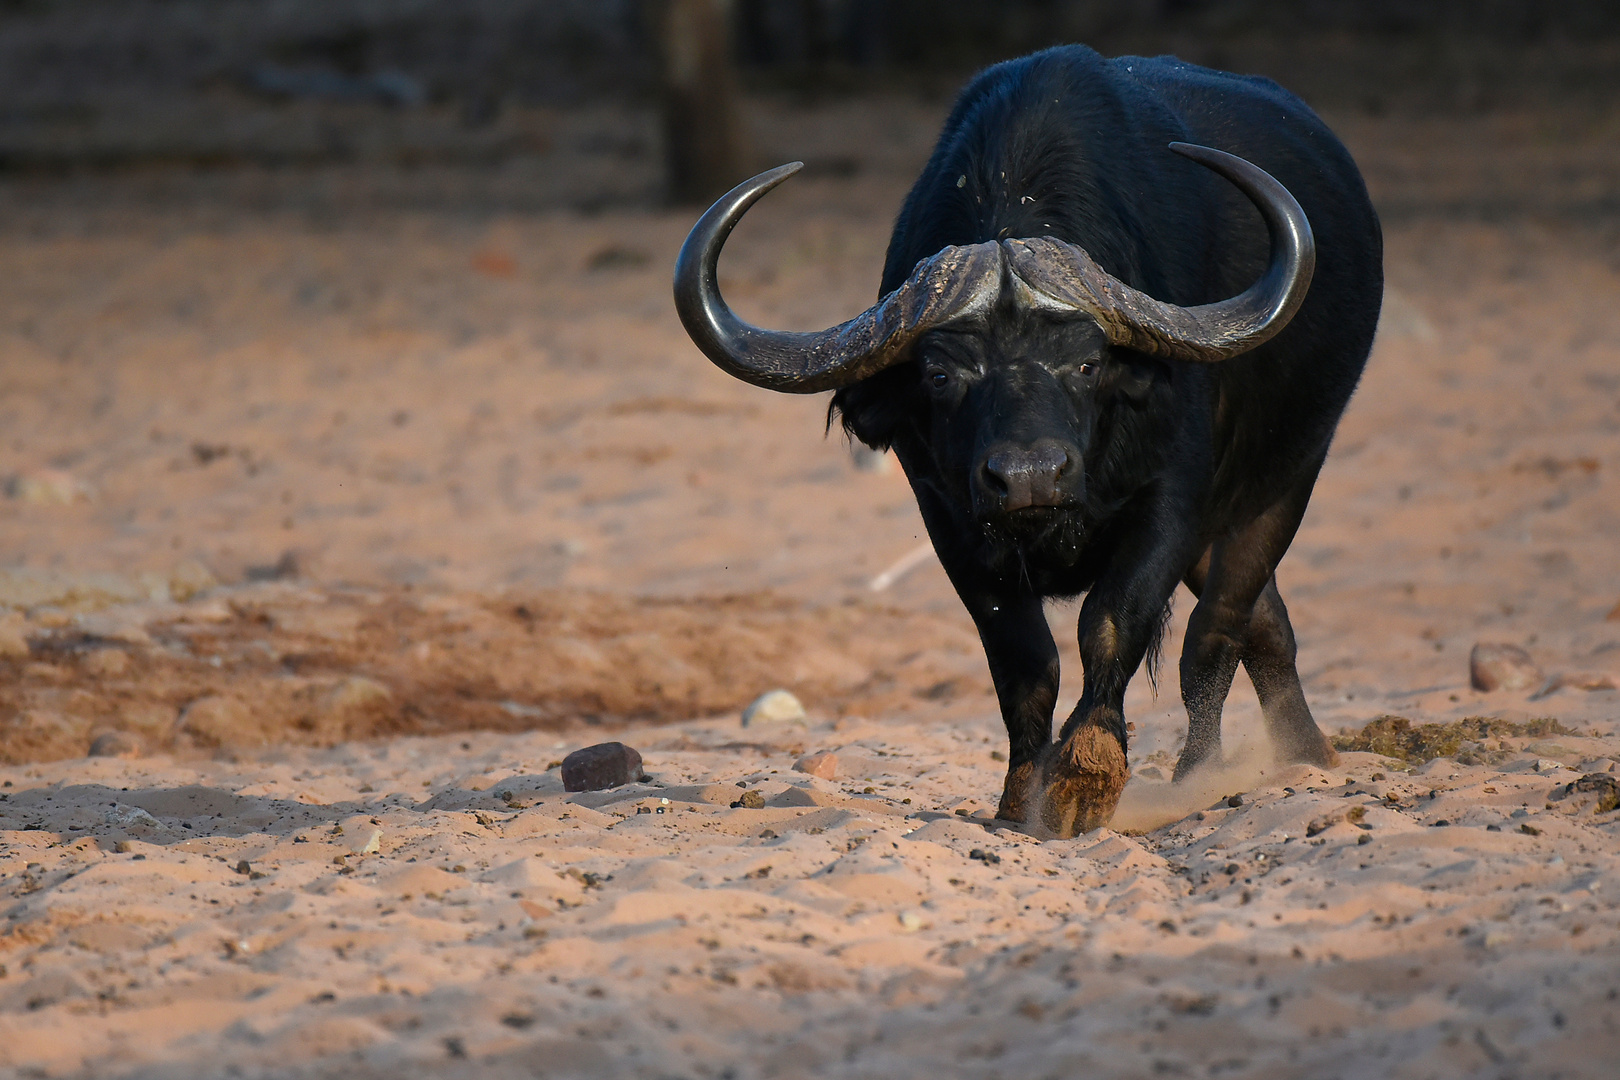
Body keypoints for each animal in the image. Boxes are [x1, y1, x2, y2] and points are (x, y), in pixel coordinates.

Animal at [670, 44, 1380, 835]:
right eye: (943, 373)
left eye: (1087, 362)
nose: (1031, 476)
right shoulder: (950, 519)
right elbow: (1022, 659)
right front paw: (1019, 801)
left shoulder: (1173, 502)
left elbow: (1113, 620)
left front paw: (1083, 776)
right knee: (1265, 624)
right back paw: (1305, 754)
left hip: (1287, 479)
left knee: (1219, 630)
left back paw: (1205, 774)